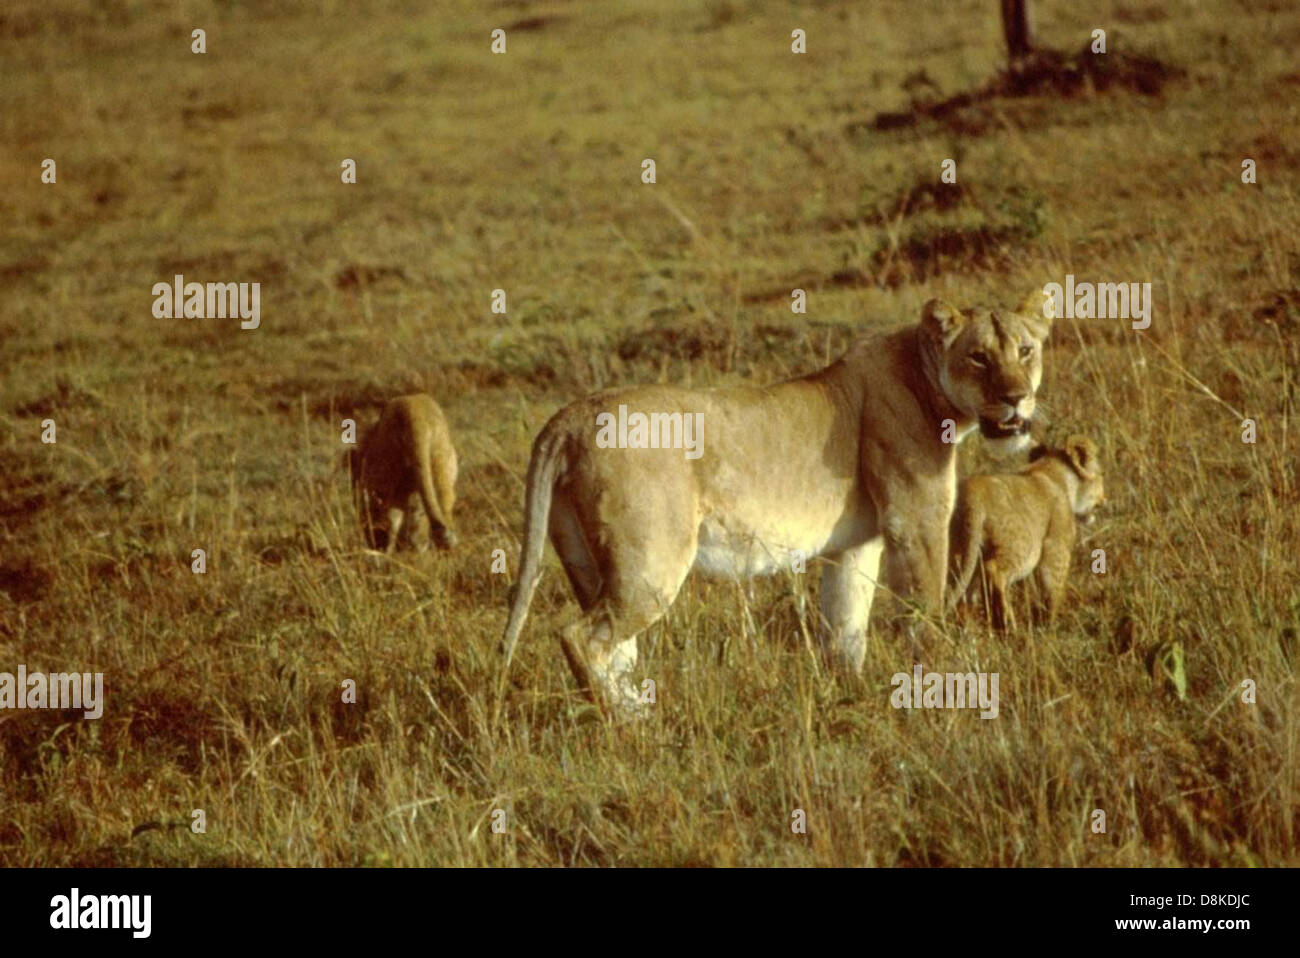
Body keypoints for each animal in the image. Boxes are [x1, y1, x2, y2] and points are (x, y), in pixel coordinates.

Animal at [349, 394, 458, 553]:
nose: (372, 543)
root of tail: (414, 408)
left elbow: (395, 518)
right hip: (442, 467)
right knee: (444, 506)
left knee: (398, 517)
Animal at [500, 295, 1053, 715]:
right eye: (979, 357)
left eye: (1026, 351)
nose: (1016, 398)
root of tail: (572, 415)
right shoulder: (916, 524)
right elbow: (926, 613)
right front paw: (939, 692)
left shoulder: (854, 545)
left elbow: (846, 628)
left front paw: (850, 696)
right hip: (650, 563)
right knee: (580, 636)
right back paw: (628, 723)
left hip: (588, 561)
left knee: (613, 648)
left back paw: (637, 709)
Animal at [948, 435, 1104, 630]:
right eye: (1101, 476)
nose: (1104, 499)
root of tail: (974, 499)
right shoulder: (1056, 548)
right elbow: (1052, 588)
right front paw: (1049, 626)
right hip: (1024, 545)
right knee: (994, 571)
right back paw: (1005, 623)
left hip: (961, 551)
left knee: (963, 587)